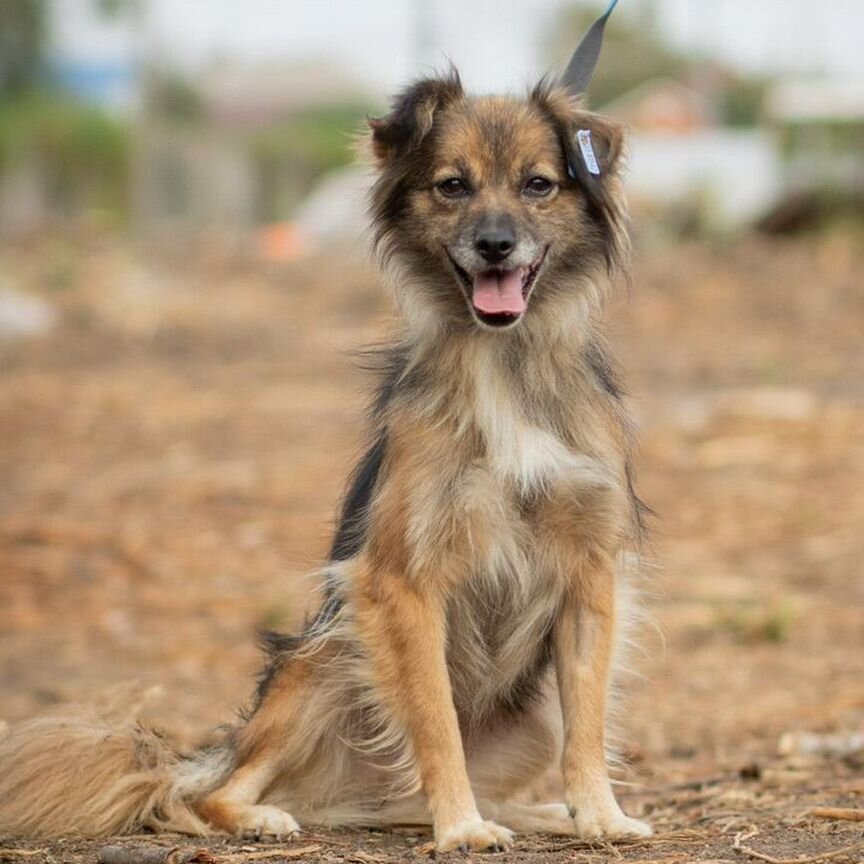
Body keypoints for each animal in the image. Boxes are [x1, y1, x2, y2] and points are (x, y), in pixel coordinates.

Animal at [0, 6, 648, 852]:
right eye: (452, 187)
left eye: (539, 185)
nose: (495, 245)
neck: (504, 358)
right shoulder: (401, 581)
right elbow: (435, 721)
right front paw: (460, 826)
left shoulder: (588, 572)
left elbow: (590, 720)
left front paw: (598, 813)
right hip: (328, 657)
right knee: (208, 795)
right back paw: (265, 815)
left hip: (520, 721)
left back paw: (529, 812)